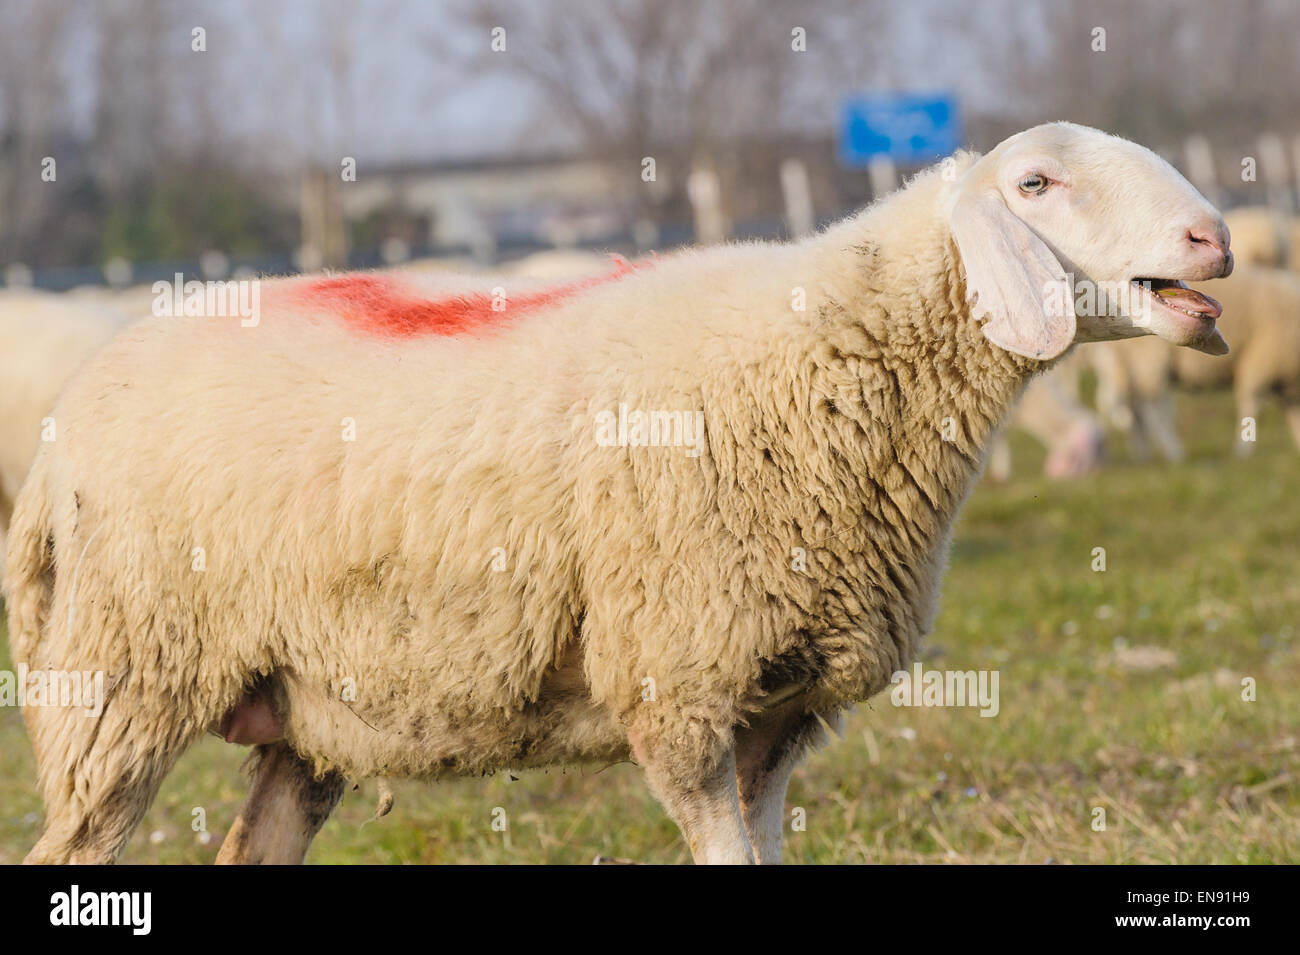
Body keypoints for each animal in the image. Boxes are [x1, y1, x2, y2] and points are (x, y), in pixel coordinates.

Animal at [6, 122, 1234, 865]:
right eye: (1035, 186)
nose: (1213, 237)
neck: (823, 356)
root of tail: (67, 428)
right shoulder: (682, 678)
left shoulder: (779, 706)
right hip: (121, 675)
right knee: (76, 845)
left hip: (299, 711)